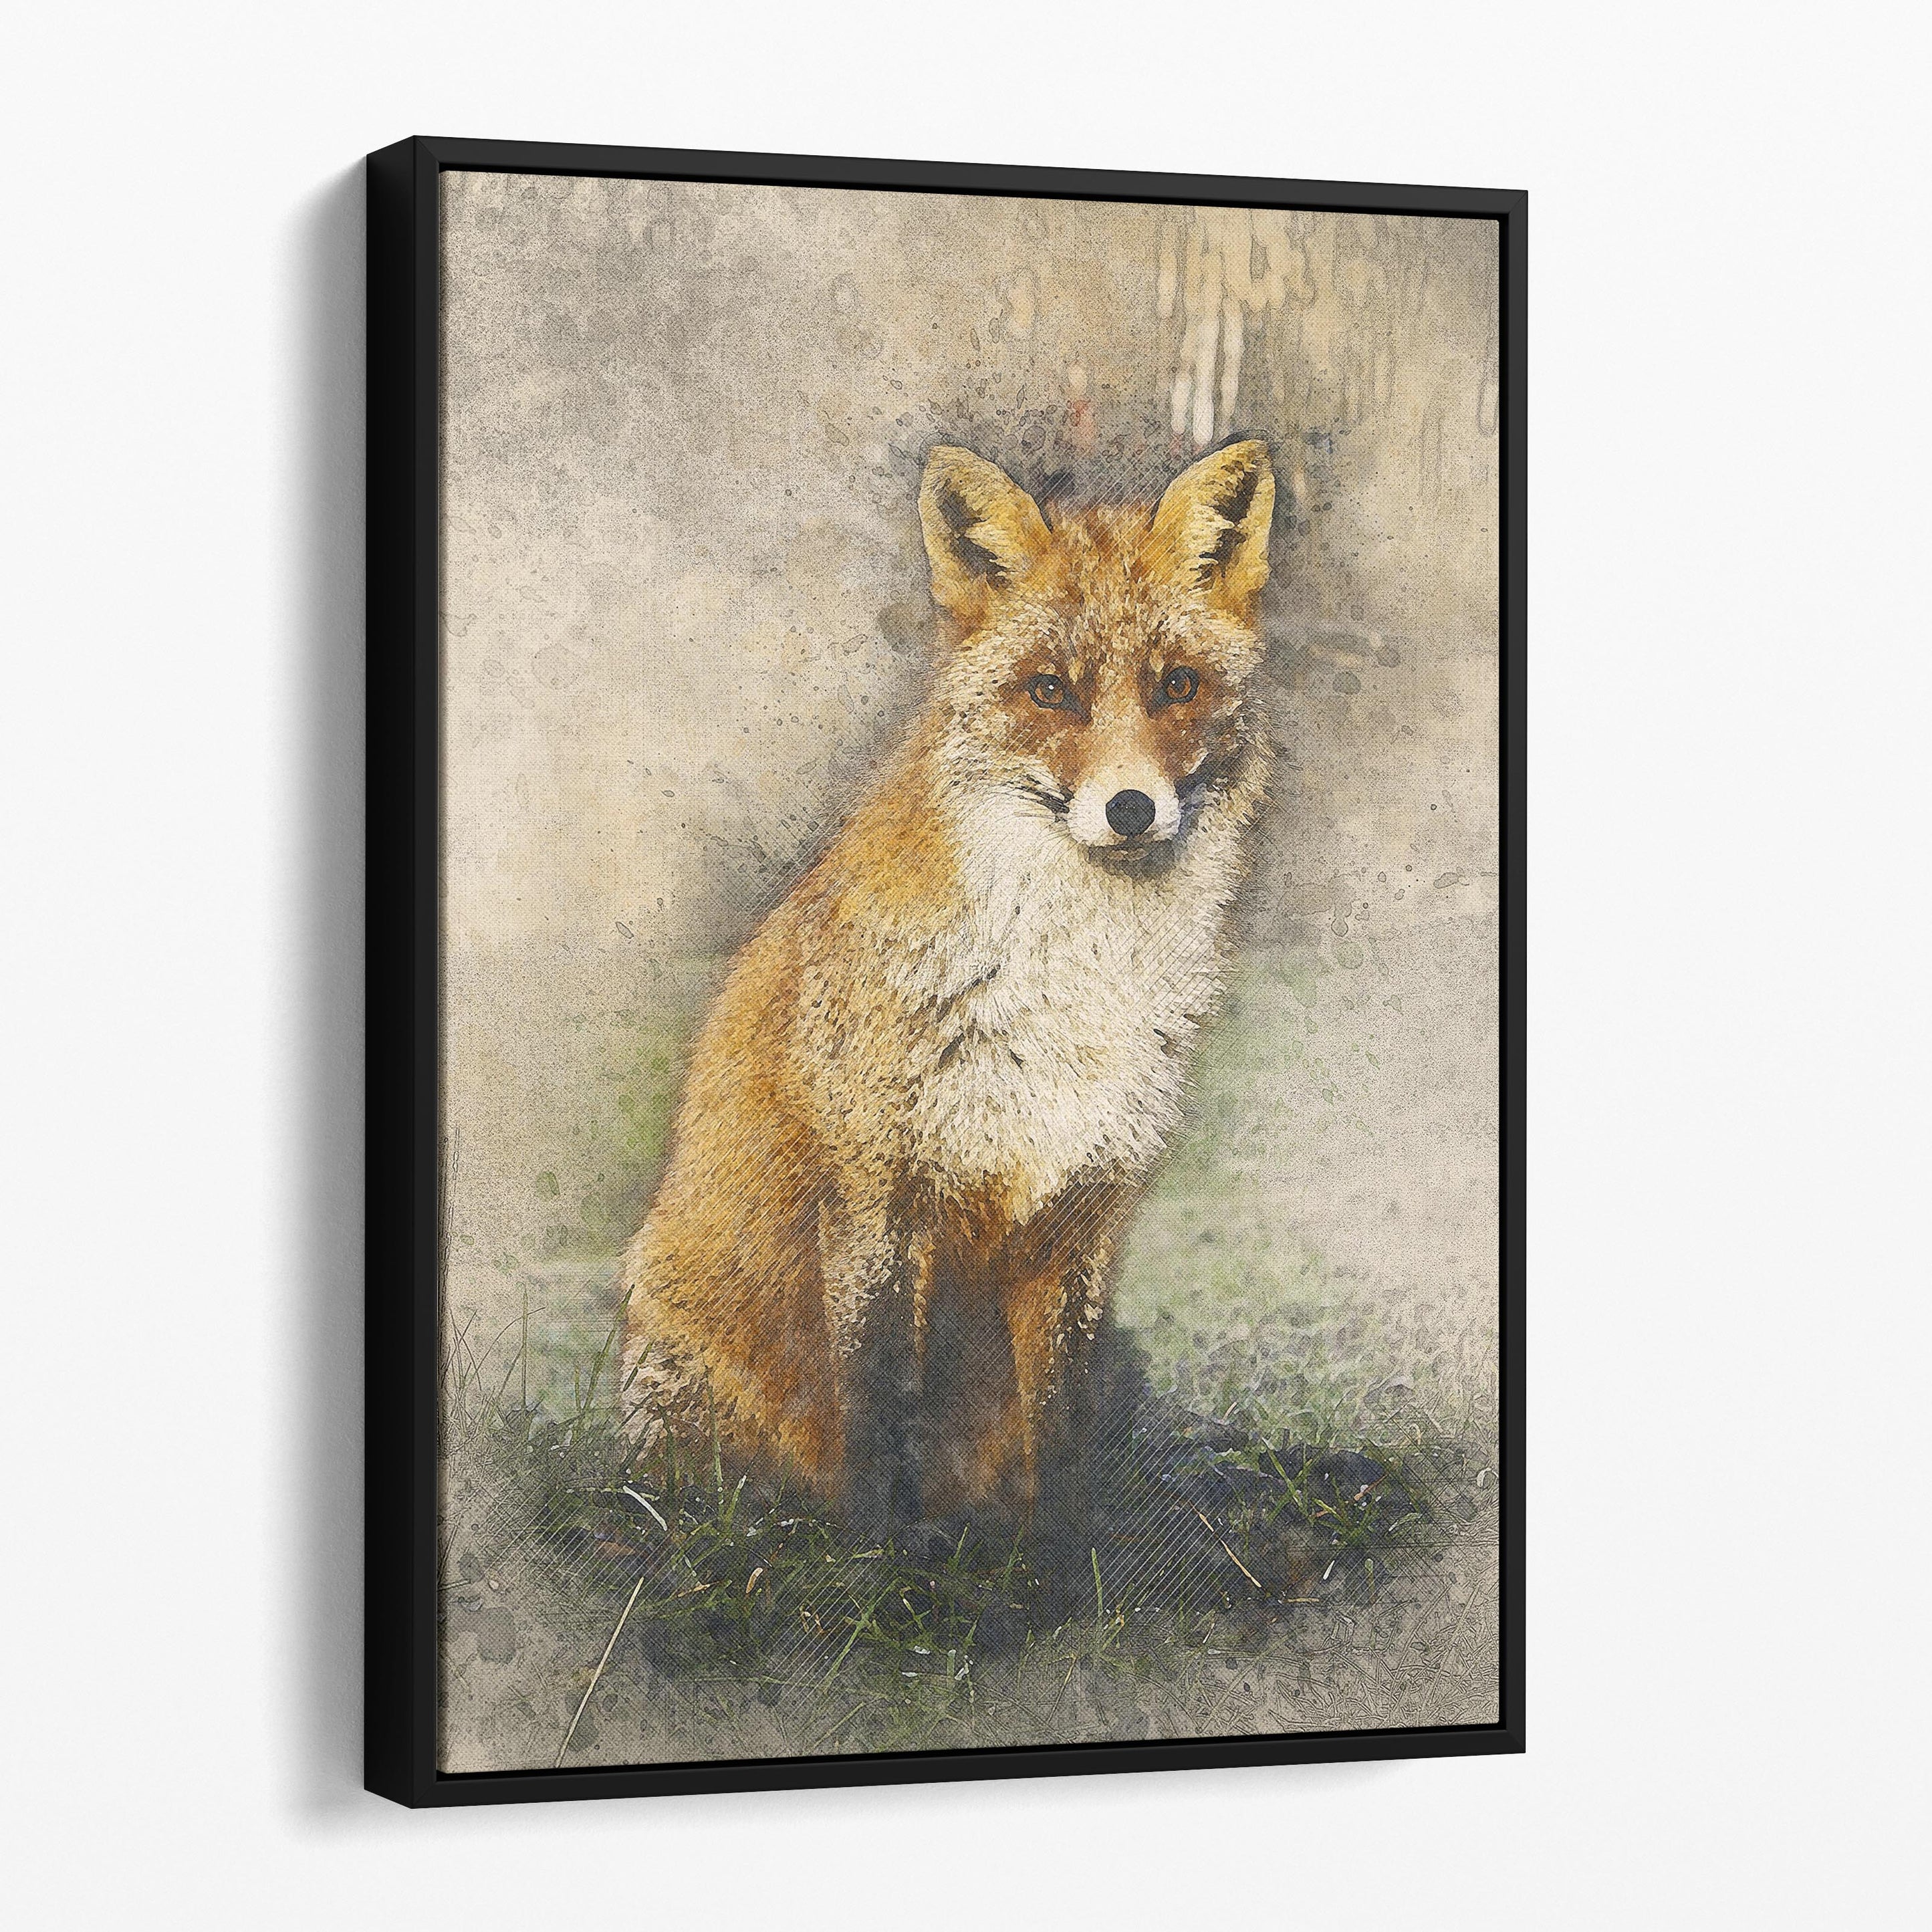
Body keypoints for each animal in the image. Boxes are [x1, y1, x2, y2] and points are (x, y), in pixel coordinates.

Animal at [617, 437, 1275, 1541]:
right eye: (1049, 691)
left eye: (1176, 684)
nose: (1130, 809)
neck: (1071, 984)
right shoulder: (876, 1195)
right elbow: (881, 1401)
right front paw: (878, 1559)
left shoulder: (1081, 1213)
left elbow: (1060, 1424)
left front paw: (1068, 1562)